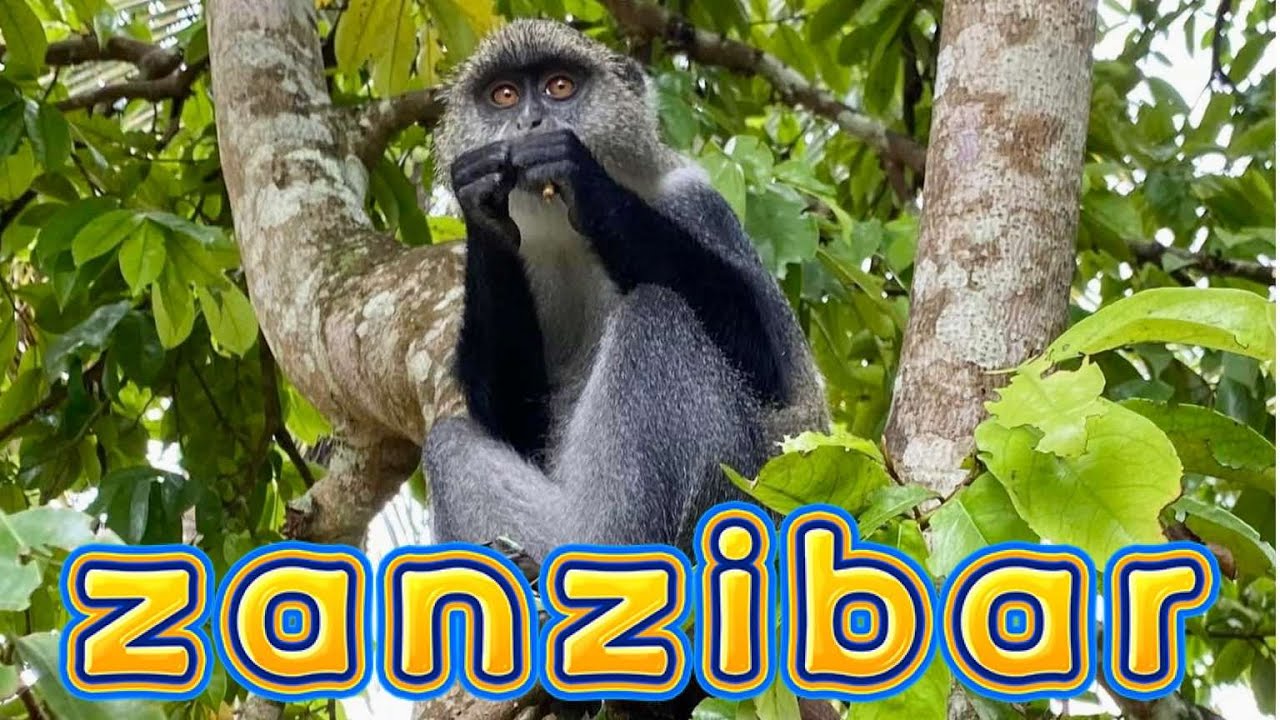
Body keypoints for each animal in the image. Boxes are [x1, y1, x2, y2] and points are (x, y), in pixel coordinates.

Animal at [424, 19, 829, 561]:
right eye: (504, 95)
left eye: (559, 86)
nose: (529, 123)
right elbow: (516, 423)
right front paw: (480, 207)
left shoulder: (696, 204)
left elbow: (768, 368)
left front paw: (581, 175)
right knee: (448, 443)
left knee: (656, 311)